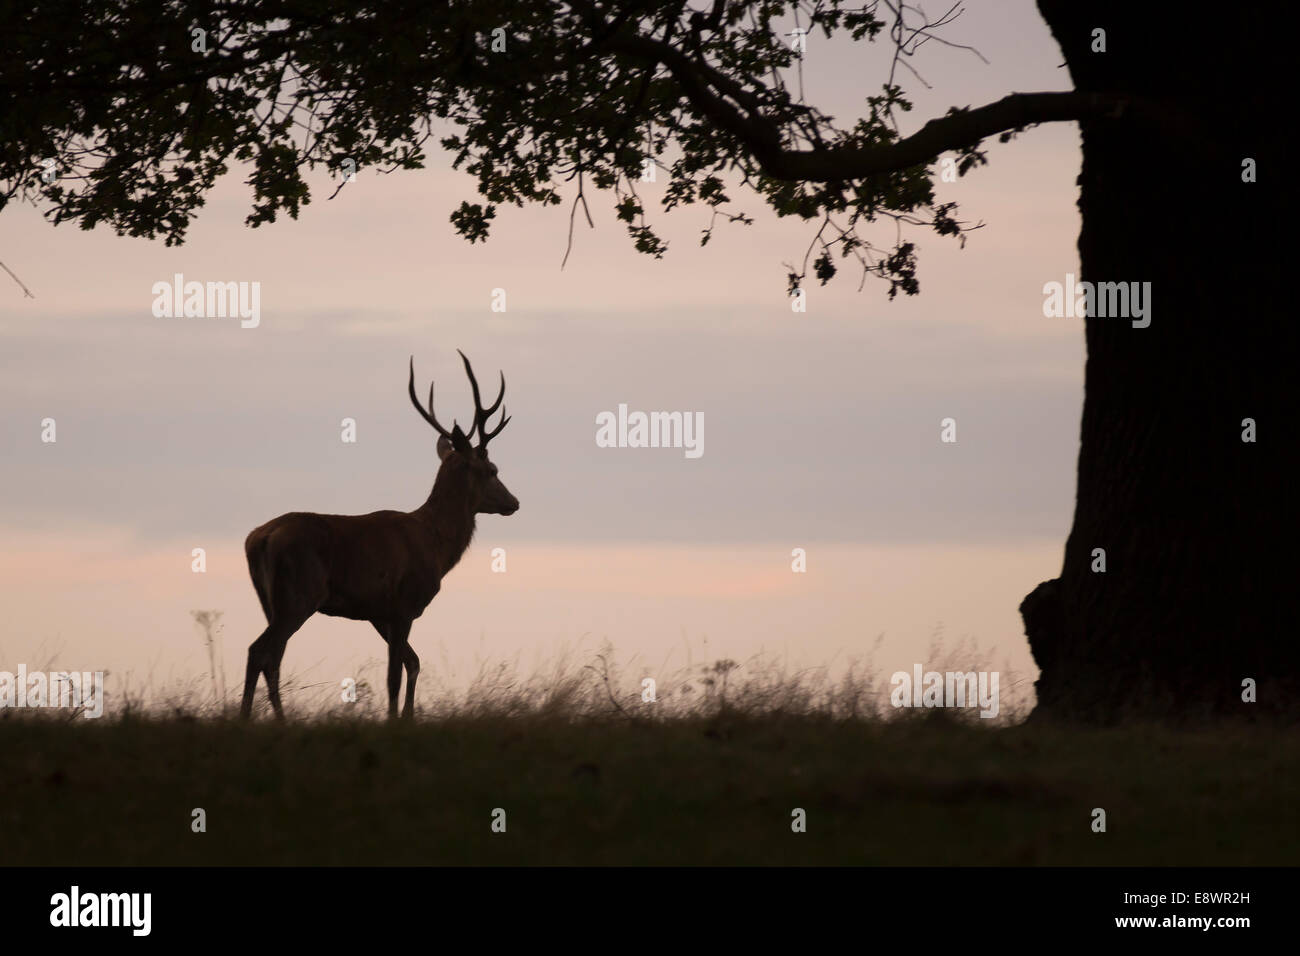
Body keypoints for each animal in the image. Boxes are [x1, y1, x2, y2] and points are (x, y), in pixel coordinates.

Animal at [239, 351, 519, 721]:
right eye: (492, 470)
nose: (514, 502)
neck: (436, 545)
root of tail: (260, 538)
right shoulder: (404, 603)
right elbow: (393, 676)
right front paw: (394, 720)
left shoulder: (376, 612)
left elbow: (413, 663)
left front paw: (407, 718)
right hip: (299, 594)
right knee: (259, 651)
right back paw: (248, 719)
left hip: (269, 600)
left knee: (272, 657)